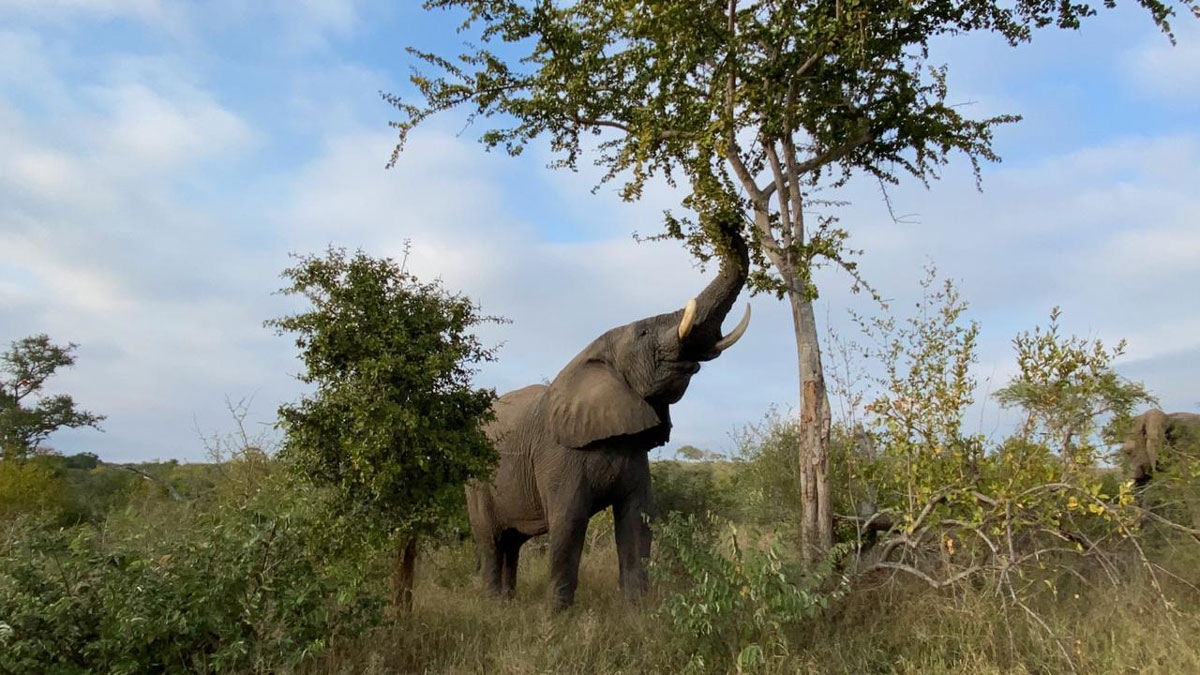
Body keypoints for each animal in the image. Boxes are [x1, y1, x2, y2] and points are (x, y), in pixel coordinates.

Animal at [467, 230, 750, 610]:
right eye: (643, 333)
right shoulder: (557, 453)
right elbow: (569, 522)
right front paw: (556, 617)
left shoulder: (634, 451)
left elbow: (637, 521)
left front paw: (636, 613)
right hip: (476, 481)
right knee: (490, 539)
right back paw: (493, 604)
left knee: (512, 542)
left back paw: (507, 603)